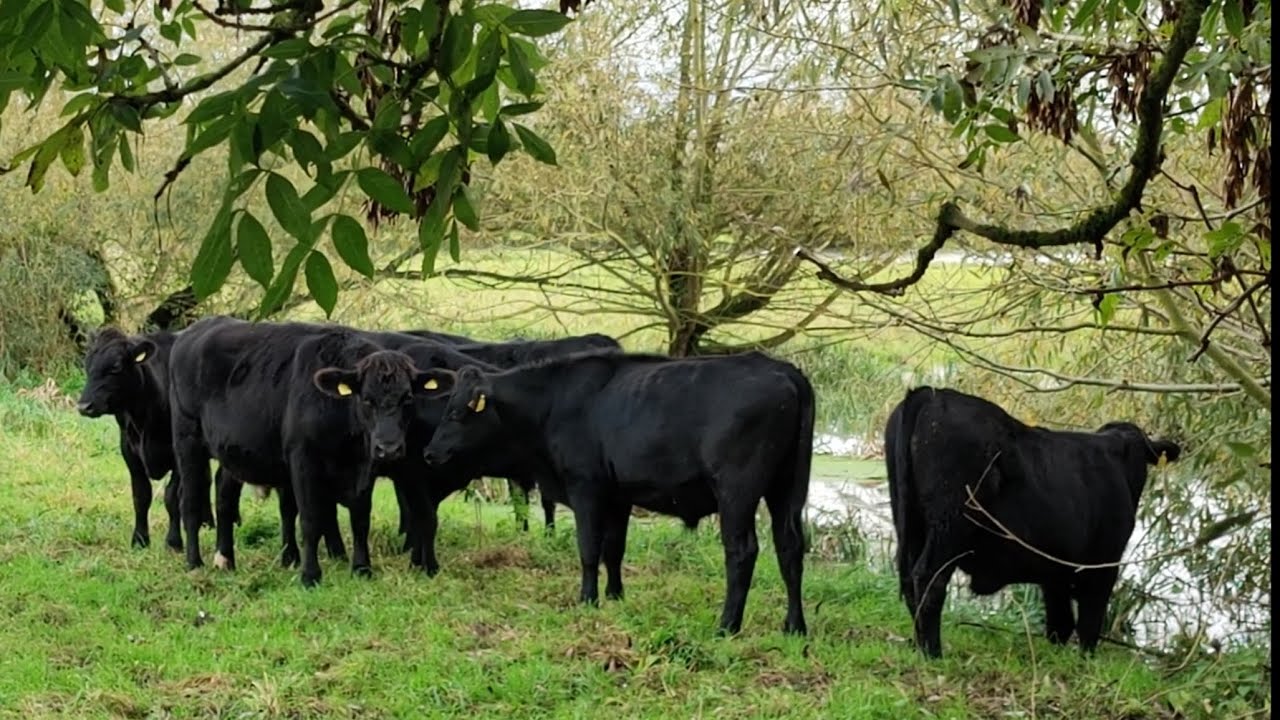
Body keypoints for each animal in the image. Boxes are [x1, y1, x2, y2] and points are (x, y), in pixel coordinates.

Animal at [420, 349, 815, 636]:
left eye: (457, 413)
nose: (429, 452)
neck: (553, 404)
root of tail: (782, 370)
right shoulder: (619, 496)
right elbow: (614, 548)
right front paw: (615, 595)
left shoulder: (586, 488)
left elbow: (589, 549)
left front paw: (588, 599)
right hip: (787, 489)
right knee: (790, 547)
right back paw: (794, 626)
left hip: (737, 492)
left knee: (742, 551)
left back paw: (727, 625)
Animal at [883, 386, 1183, 659]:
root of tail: (931, 394)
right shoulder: (1104, 562)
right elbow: (1089, 621)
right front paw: (1085, 660)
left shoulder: (1056, 567)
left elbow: (1060, 622)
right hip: (950, 523)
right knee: (929, 580)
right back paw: (933, 653)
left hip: (911, 523)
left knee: (909, 579)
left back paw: (919, 645)